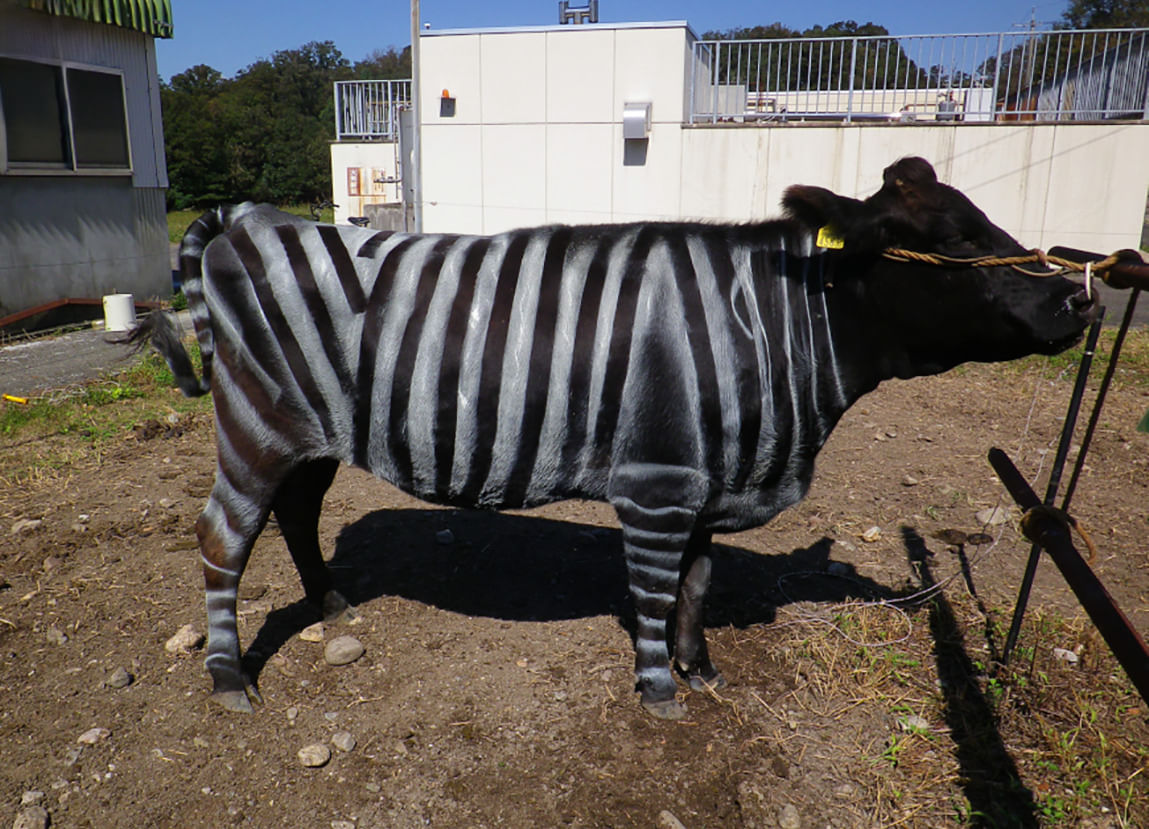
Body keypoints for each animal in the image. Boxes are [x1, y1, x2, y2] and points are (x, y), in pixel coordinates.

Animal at [130, 157, 1096, 719]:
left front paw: (702, 670)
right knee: (223, 536)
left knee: (294, 514)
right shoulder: (659, 483)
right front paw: (660, 691)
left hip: (312, 433)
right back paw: (229, 679)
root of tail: (253, 218)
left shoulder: (709, 479)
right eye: (946, 241)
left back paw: (331, 605)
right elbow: (656, 590)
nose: (1077, 298)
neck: (768, 328)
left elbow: (697, 585)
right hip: (255, 425)